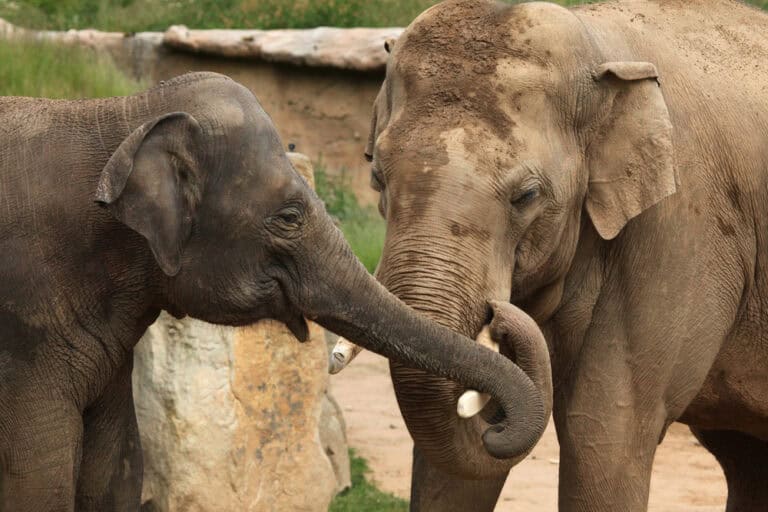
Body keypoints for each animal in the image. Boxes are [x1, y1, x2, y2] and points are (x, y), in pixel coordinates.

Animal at [0, 72, 552, 511]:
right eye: (289, 217)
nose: (498, 311)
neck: (122, 114)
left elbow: (116, 469)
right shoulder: (25, 328)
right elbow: (40, 480)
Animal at [331, 0, 768, 510]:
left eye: (527, 196)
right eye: (377, 177)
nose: (501, 317)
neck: (597, 45)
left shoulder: (680, 229)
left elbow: (603, 435)